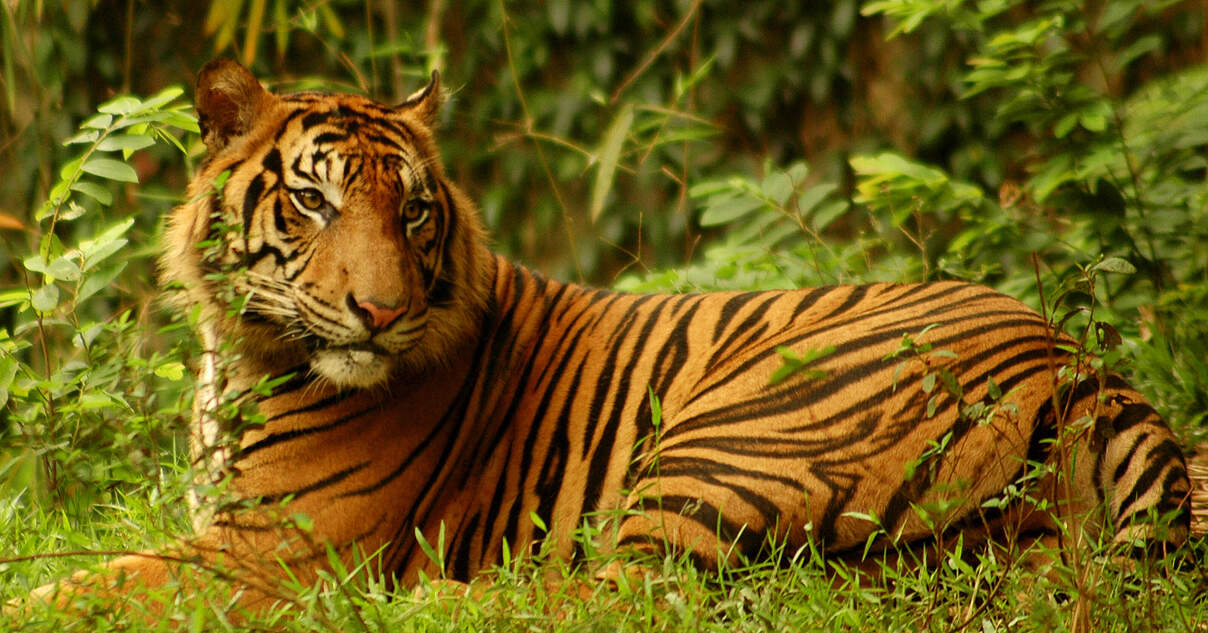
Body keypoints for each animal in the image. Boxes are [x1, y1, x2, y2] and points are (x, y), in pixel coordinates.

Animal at [31, 58, 1191, 614]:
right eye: (315, 204)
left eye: (412, 210)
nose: (384, 312)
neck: (243, 355)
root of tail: (1077, 360)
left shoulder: (276, 550)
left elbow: (91, 582)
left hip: (739, 428)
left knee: (625, 594)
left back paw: (452, 594)